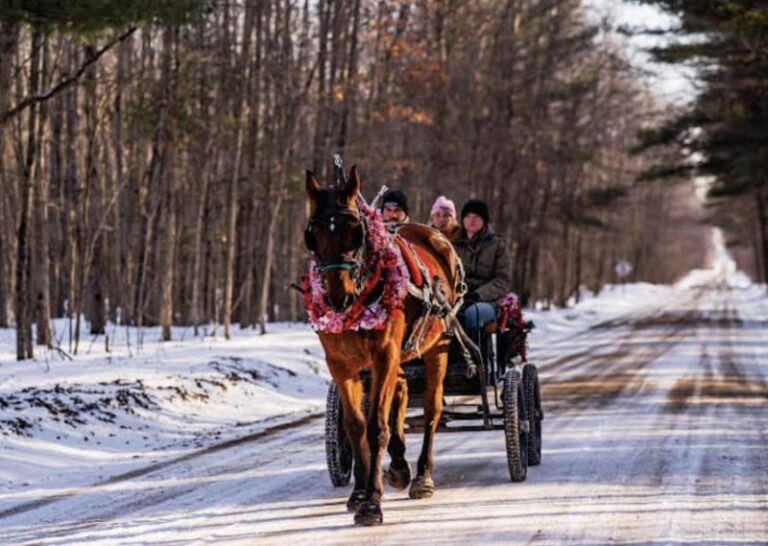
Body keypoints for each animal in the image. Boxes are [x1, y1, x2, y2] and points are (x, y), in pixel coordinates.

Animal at [303, 166, 462, 525]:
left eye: (355, 232)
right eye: (313, 234)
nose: (339, 298)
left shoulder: (383, 355)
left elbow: (376, 426)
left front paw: (372, 503)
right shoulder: (340, 363)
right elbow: (355, 426)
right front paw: (359, 493)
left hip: (438, 346)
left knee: (432, 409)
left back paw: (422, 476)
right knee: (401, 393)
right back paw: (400, 466)